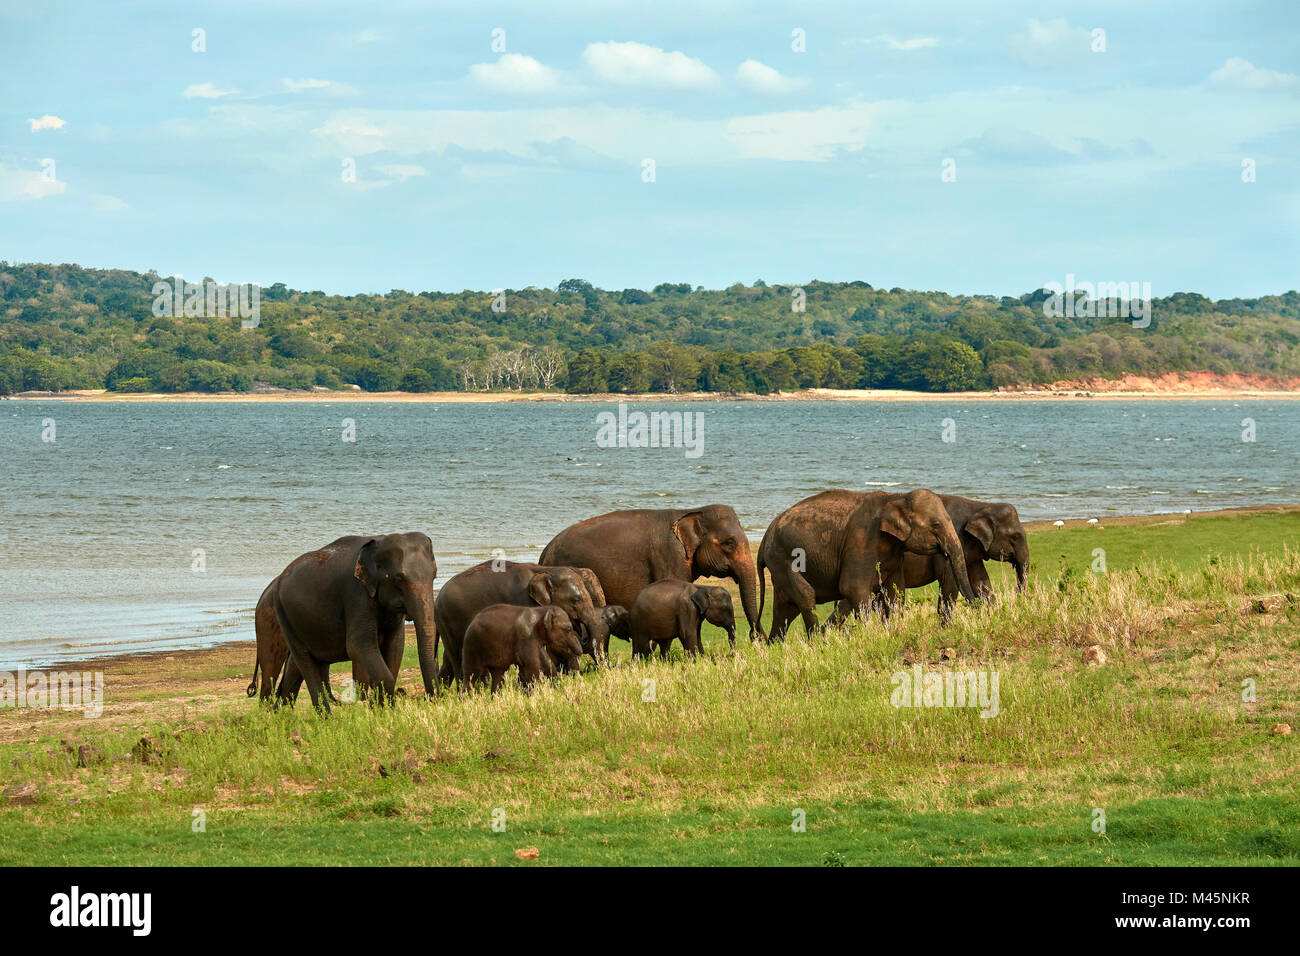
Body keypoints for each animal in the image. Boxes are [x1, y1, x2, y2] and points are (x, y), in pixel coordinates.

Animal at [271, 530, 439, 712]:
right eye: (398, 579)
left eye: (434, 575)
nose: (430, 699)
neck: (377, 543)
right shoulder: (356, 594)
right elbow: (357, 645)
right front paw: (386, 711)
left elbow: (395, 646)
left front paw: (379, 708)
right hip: (283, 615)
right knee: (304, 659)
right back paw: (325, 716)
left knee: (297, 664)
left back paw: (281, 713)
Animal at [431, 561, 603, 686]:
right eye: (576, 600)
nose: (583, 636)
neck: (545, 570)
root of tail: (436, 600)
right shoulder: (523, 602)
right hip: (449, 621)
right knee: (458, 657)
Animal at [759, 489, 977, 639]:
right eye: (936, 524)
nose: (977, 606)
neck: (895, 497)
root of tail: (764, 539)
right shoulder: (861, 542)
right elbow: (851, 587)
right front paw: (870, 635)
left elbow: (895, 590)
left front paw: (893, 630)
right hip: (782, 559)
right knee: (805, 596)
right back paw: (818, 643)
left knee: (785, 610)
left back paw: (775, 646)